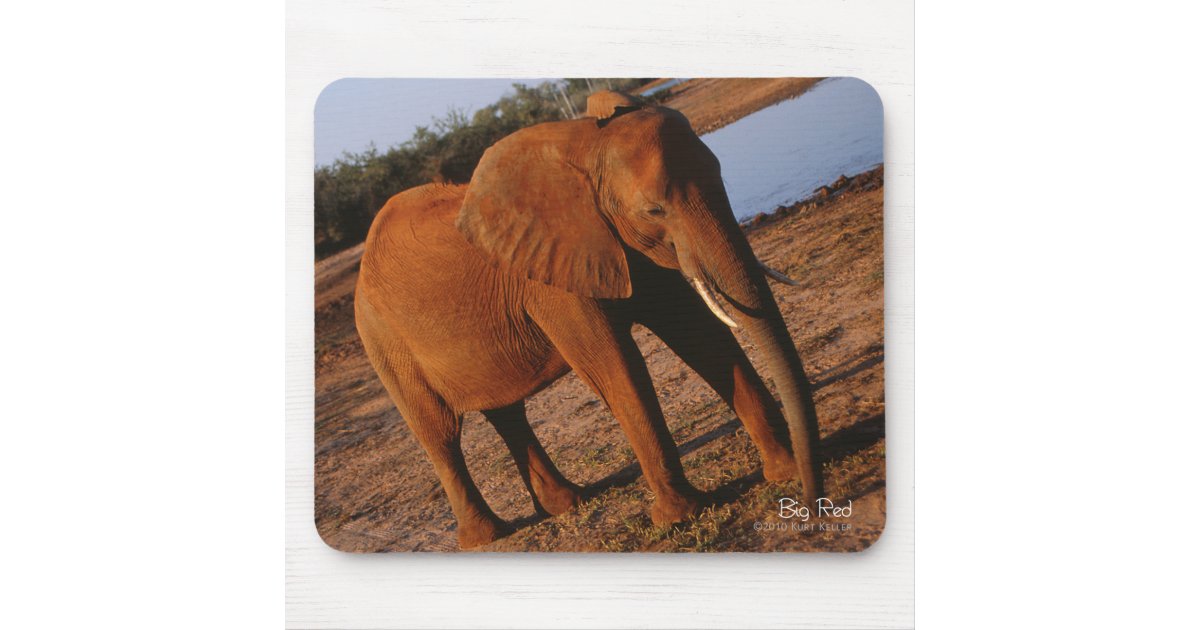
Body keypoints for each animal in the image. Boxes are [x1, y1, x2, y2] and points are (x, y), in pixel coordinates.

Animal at [354, 91, 824, 549]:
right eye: (654, 210)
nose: (808, 509)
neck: (587, 147)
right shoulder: (551, 277)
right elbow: (614, 367)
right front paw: (678, 516)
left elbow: (698, 333)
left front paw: (781, 471)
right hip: (383, 344)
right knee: (440, 434)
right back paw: (486, 537)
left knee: (508, 413)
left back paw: (567, 503)